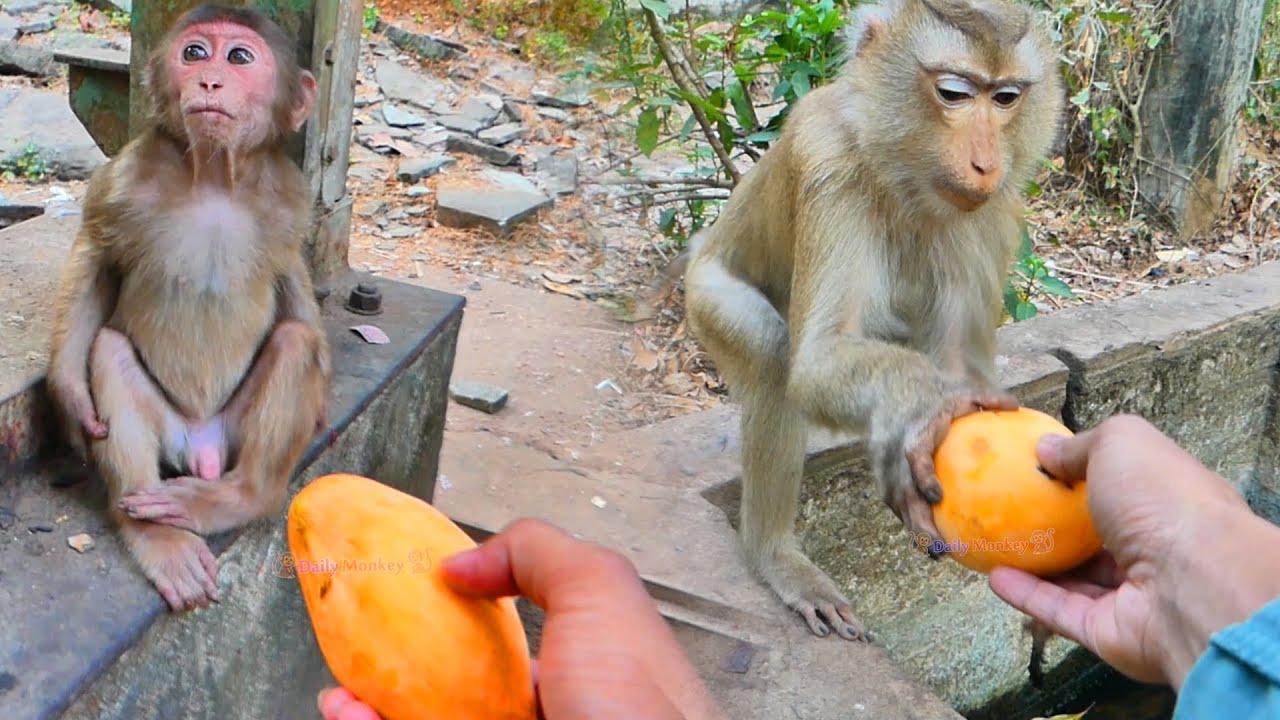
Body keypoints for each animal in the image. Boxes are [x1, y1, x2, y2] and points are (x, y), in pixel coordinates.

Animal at [45, 4, 331, 612]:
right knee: (108, 350)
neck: (214, 177)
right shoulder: (124, 177)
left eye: (239, 57)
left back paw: (239, 498)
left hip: (234, 432)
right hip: (169, 434)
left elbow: (291, 275)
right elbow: (97, 255)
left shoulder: (289, 193)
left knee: (297, 341)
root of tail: (202, 447)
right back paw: (156, 533)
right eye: (194, 53)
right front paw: (69, 394)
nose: (210, 81)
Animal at [680, 0, 1065, 642]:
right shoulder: (827, 162)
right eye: (954, 93)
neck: (904, 174)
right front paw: (923, 407)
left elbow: (961, 360)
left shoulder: (996, 208)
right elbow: (814, 363)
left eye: (1007, 97)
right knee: (771, 356)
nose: (985, 163)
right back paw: (773, 555)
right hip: (706, 295)